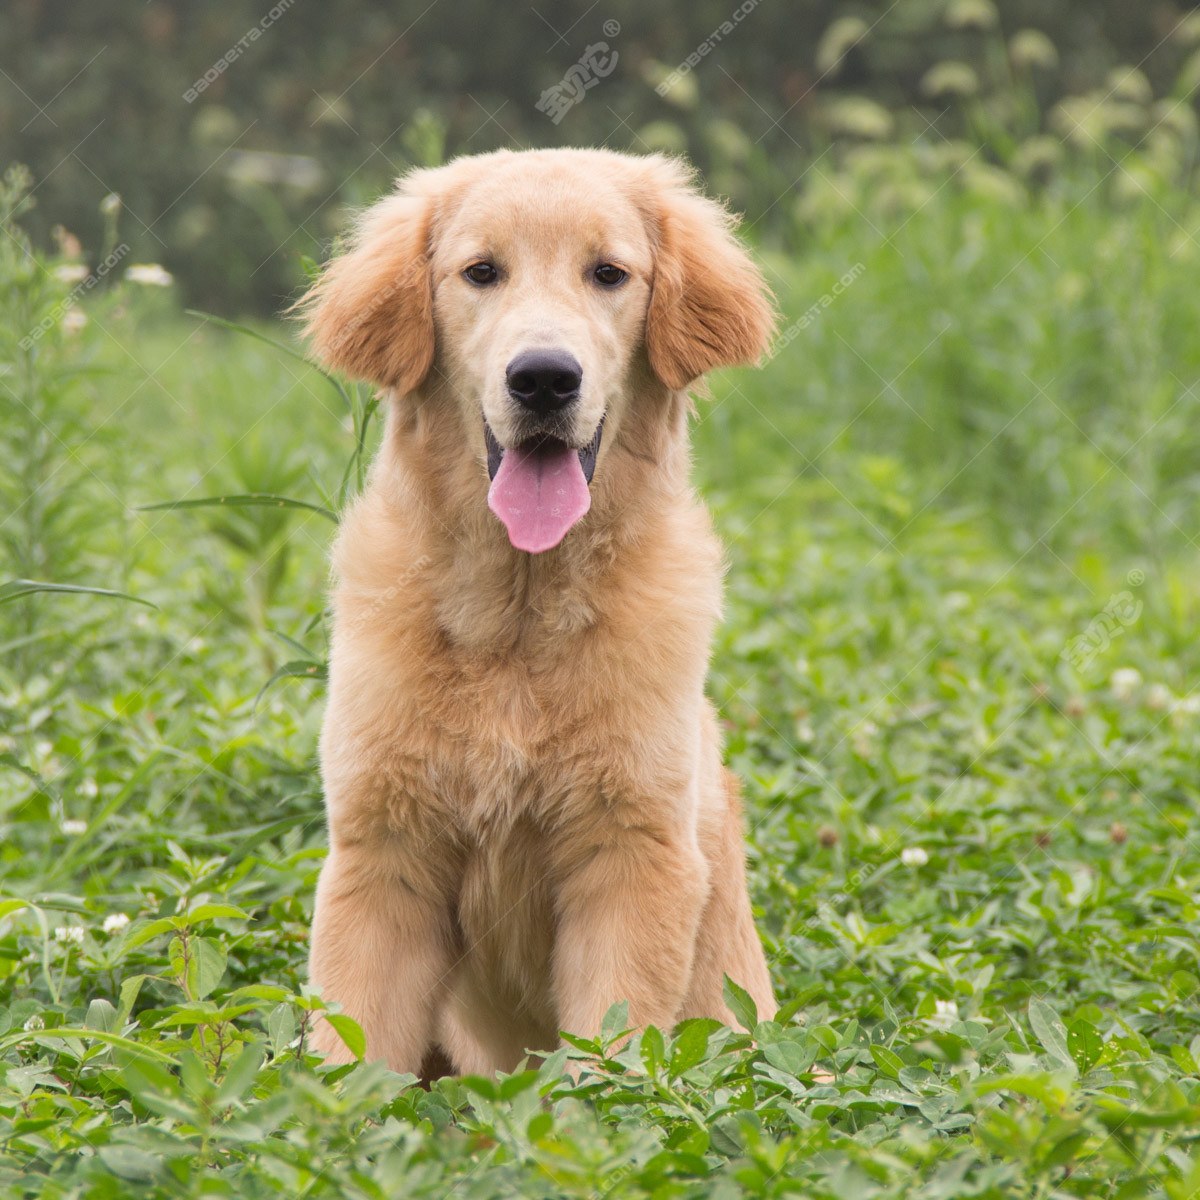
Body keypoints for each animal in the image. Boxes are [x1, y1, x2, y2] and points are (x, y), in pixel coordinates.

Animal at [300, 145, 777, 1075]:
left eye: (609, 274)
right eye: (481, 272)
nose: (545, 378)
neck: (519, 621)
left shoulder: (632, 855)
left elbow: (610, 1051)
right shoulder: (383, 855)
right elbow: (349, 1049)